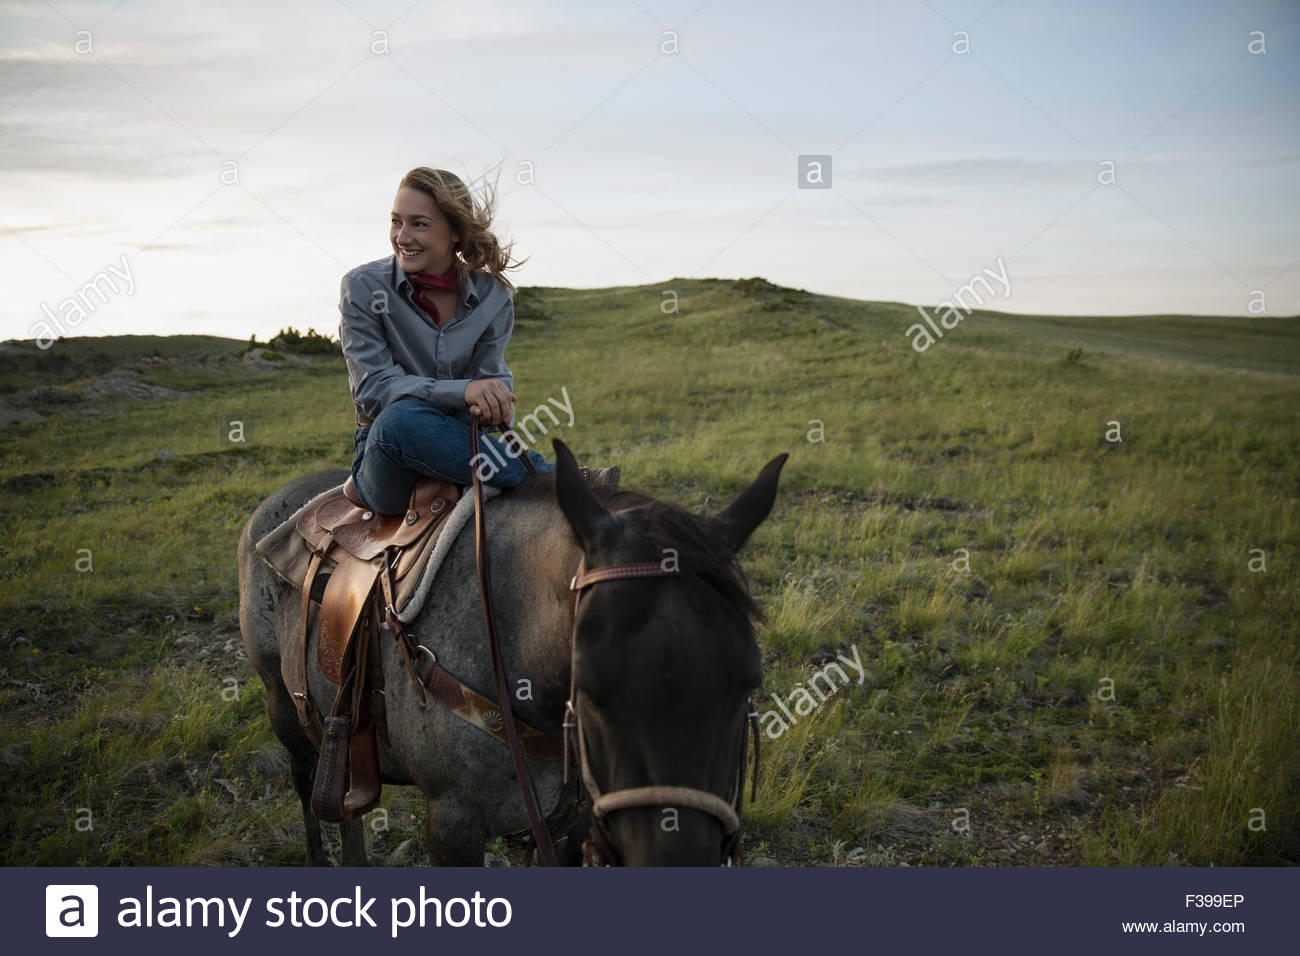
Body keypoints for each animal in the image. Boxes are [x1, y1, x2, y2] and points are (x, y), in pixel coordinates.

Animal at [237, 437, 788, 865]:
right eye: (589, 686)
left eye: (749, 681)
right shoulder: (453, 821)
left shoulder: (571, 824)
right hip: (284, 708)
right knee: (308, 785)